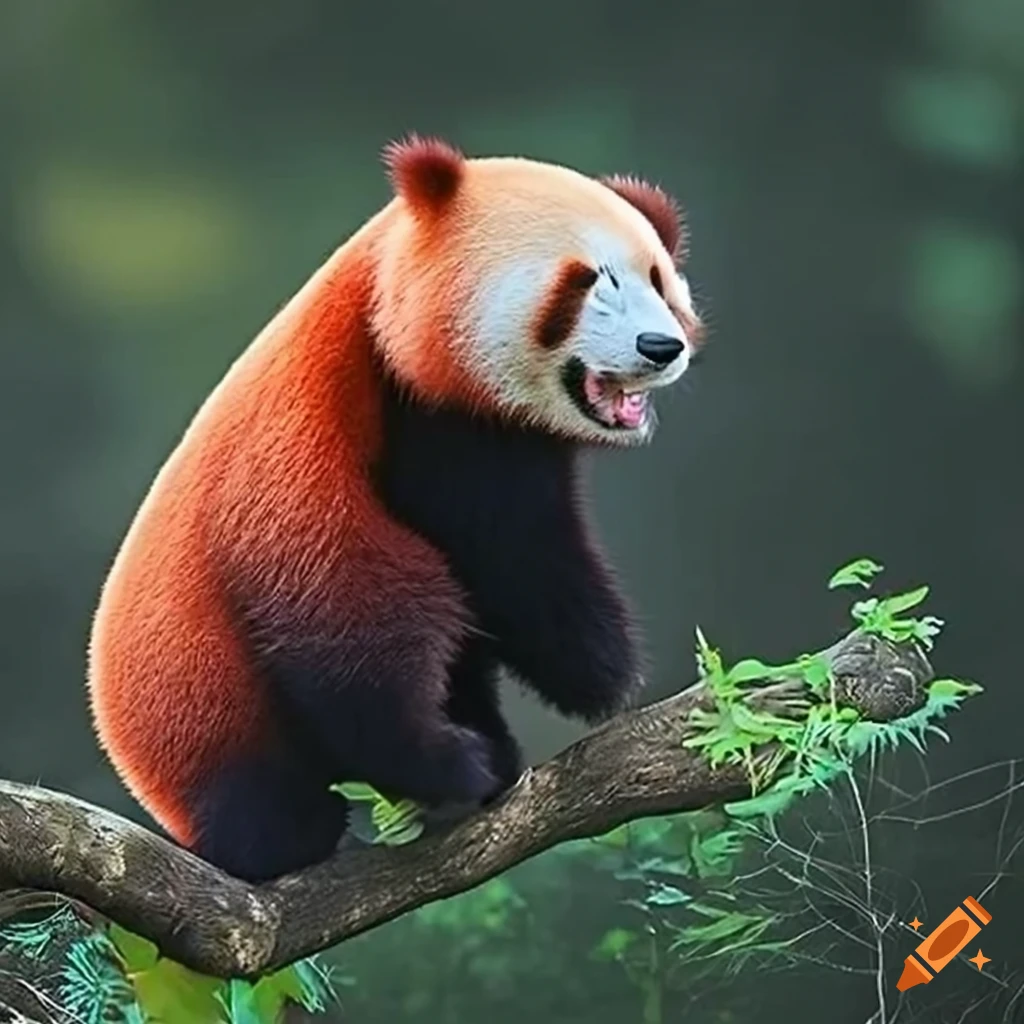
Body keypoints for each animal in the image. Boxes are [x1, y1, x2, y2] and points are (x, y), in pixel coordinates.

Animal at [86, 136, 705, 882]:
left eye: (659, 281)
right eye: (587, 281)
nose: (660, 348)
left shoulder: (484, 444)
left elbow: (511, 553)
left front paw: (591, 666)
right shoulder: (324, 419)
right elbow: (354, 609)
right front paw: (457, 759)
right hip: (194, 703)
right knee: (256, 779)